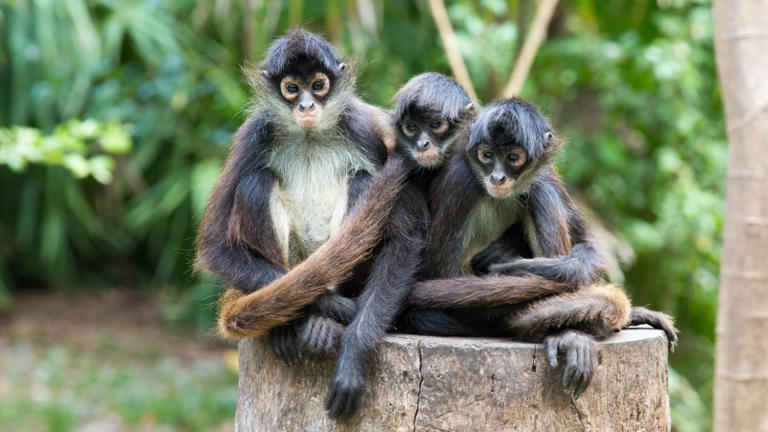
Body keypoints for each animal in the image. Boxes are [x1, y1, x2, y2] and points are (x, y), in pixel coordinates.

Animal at [196, 29, 410, 343]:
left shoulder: (362, 125)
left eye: (318, 85)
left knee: (361, 180)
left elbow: (403, 239)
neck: (309, 136)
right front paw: (328, 304)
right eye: (292, 88)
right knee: (256, 182)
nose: (306, 105)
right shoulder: (254, 133)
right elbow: (216, 249)